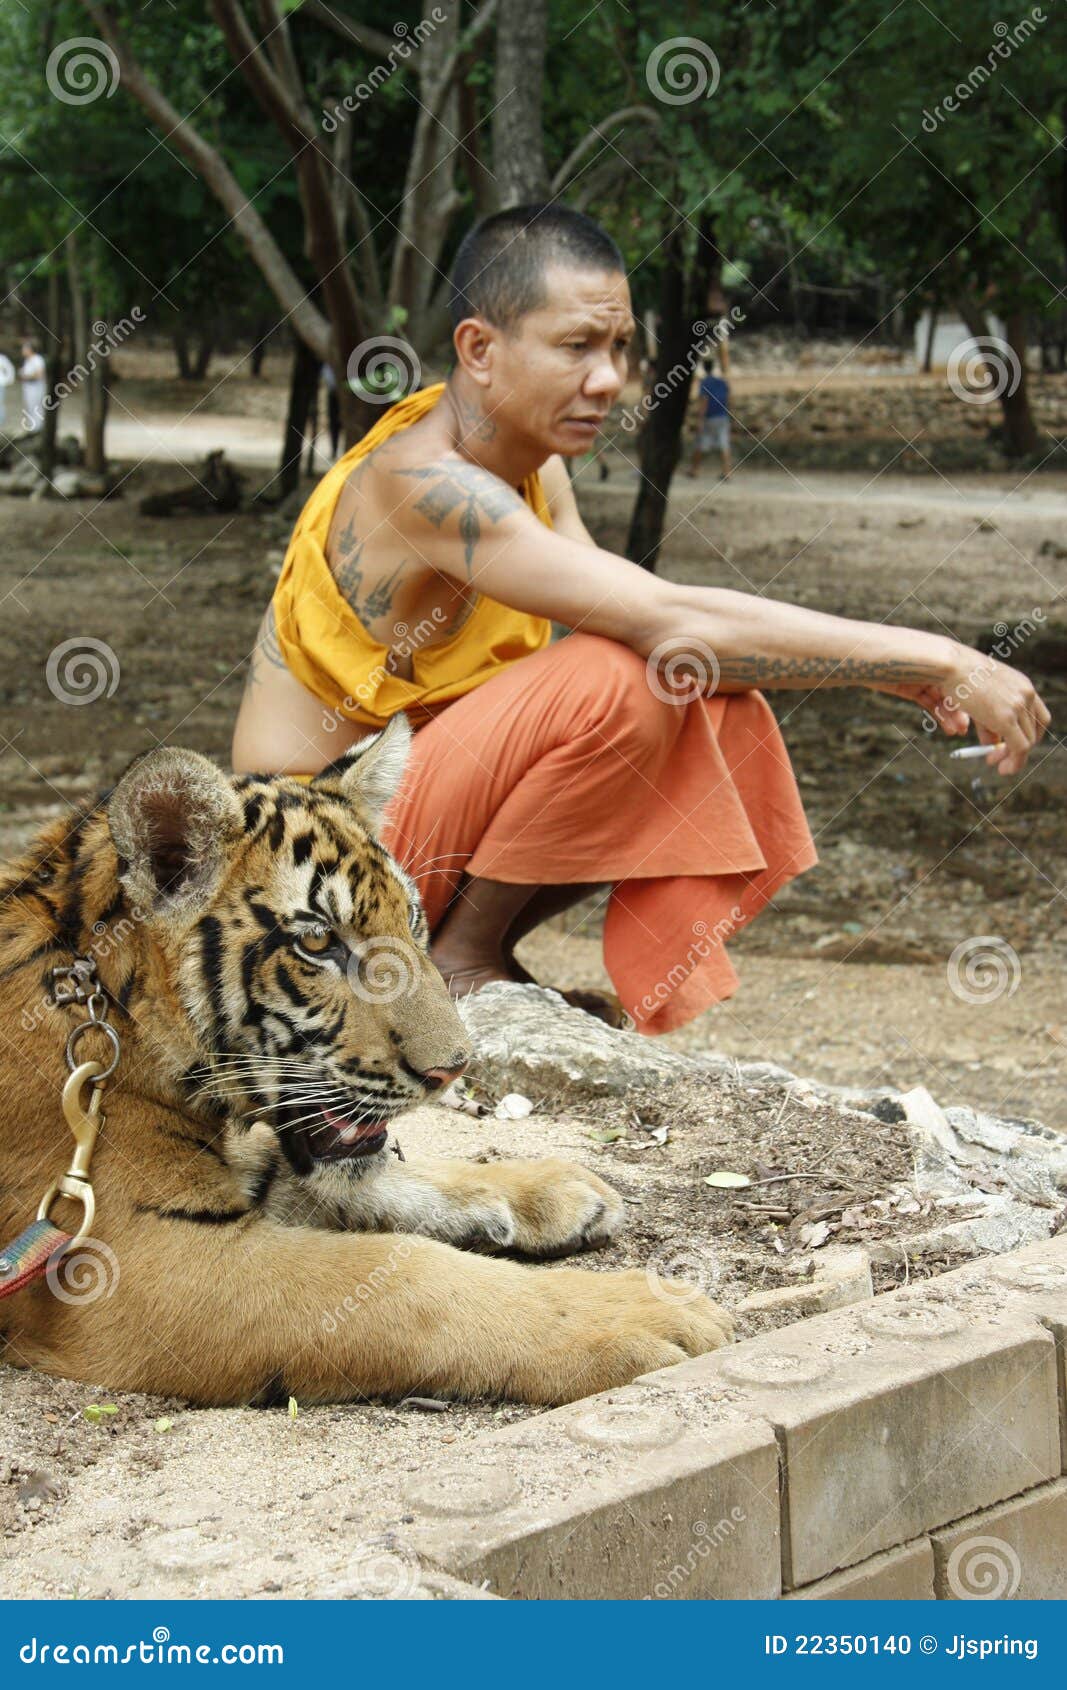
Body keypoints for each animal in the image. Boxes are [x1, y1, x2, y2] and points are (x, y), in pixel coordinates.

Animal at [0, 717, 730, 1407]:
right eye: (320, 943)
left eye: (412, 920)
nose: (453, 1068)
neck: (111, 1004)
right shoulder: (139, 1261)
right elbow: (407, 1274)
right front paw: (641, 1310)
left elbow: (383, 1174)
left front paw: (549, 1188)